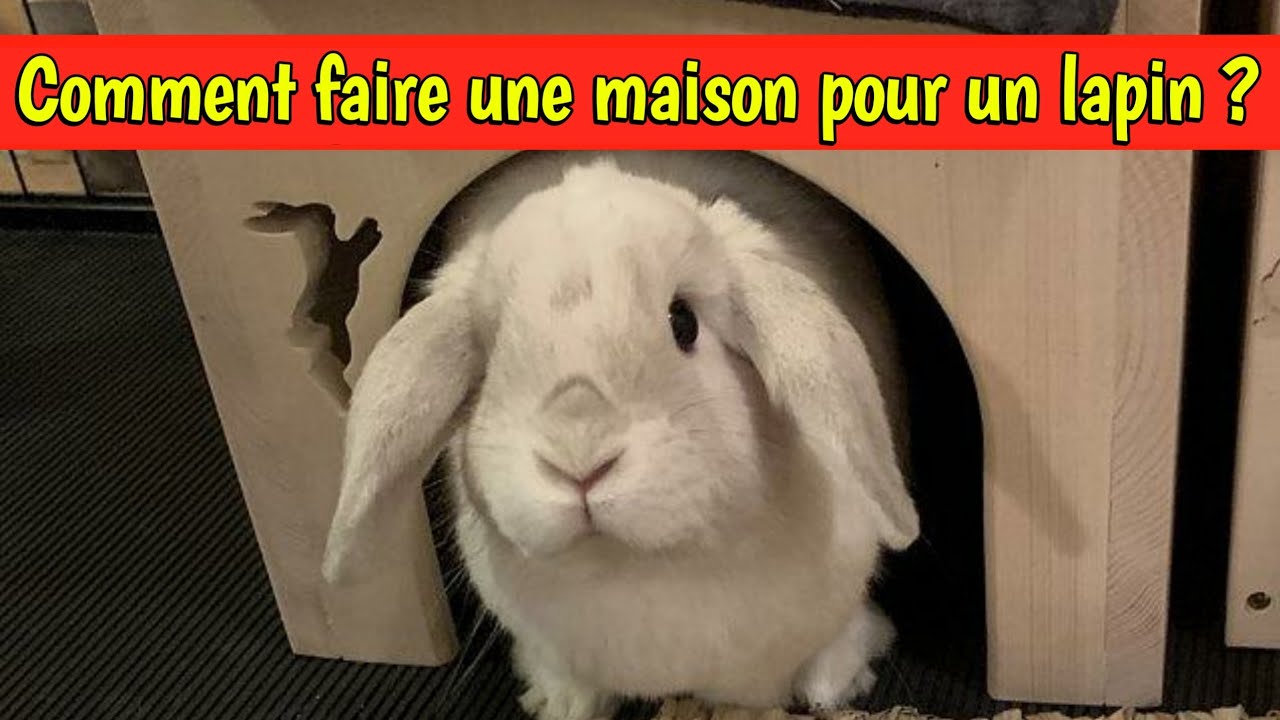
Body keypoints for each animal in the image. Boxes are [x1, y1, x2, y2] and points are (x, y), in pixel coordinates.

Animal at [322, 151, 920, 720]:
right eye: (489, 355)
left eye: (684, 322)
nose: (579, 462)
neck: (635, 567)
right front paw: (559, 704)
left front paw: (836, 684)